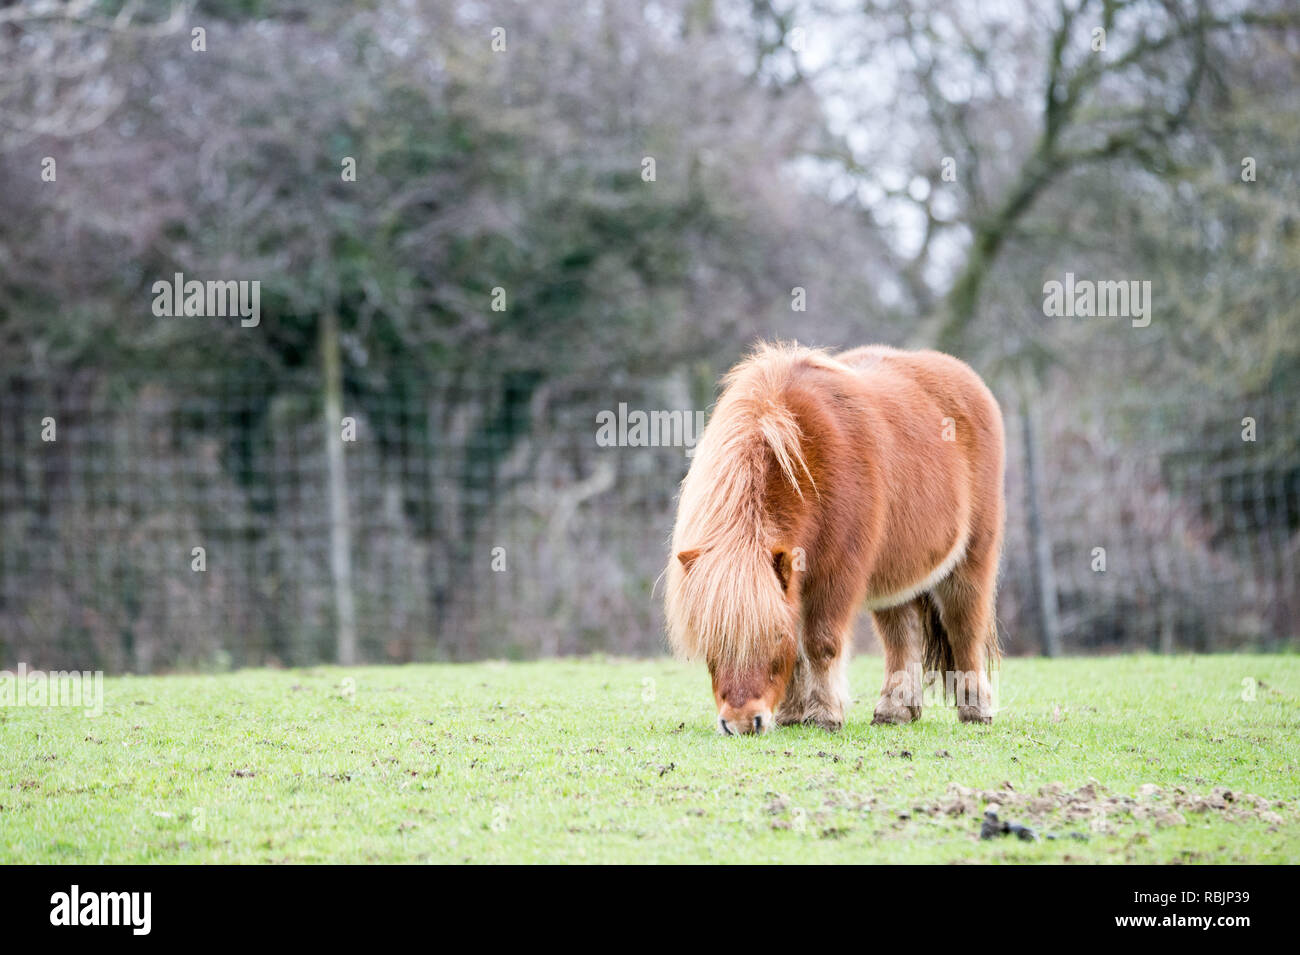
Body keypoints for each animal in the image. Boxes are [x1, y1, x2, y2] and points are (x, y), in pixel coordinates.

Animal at [664, 342, 1004, 735]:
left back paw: (976, 710)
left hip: (970, 562)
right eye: (711, 642)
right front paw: (793, 714)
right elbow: (801, 651)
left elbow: (820, 642)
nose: (742, 723)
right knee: (901, 635)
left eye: (774, 637)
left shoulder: (838, 573)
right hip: (897, 575)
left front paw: (824, 715)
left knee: (964, 628)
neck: (805, 459)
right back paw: (895, 711)